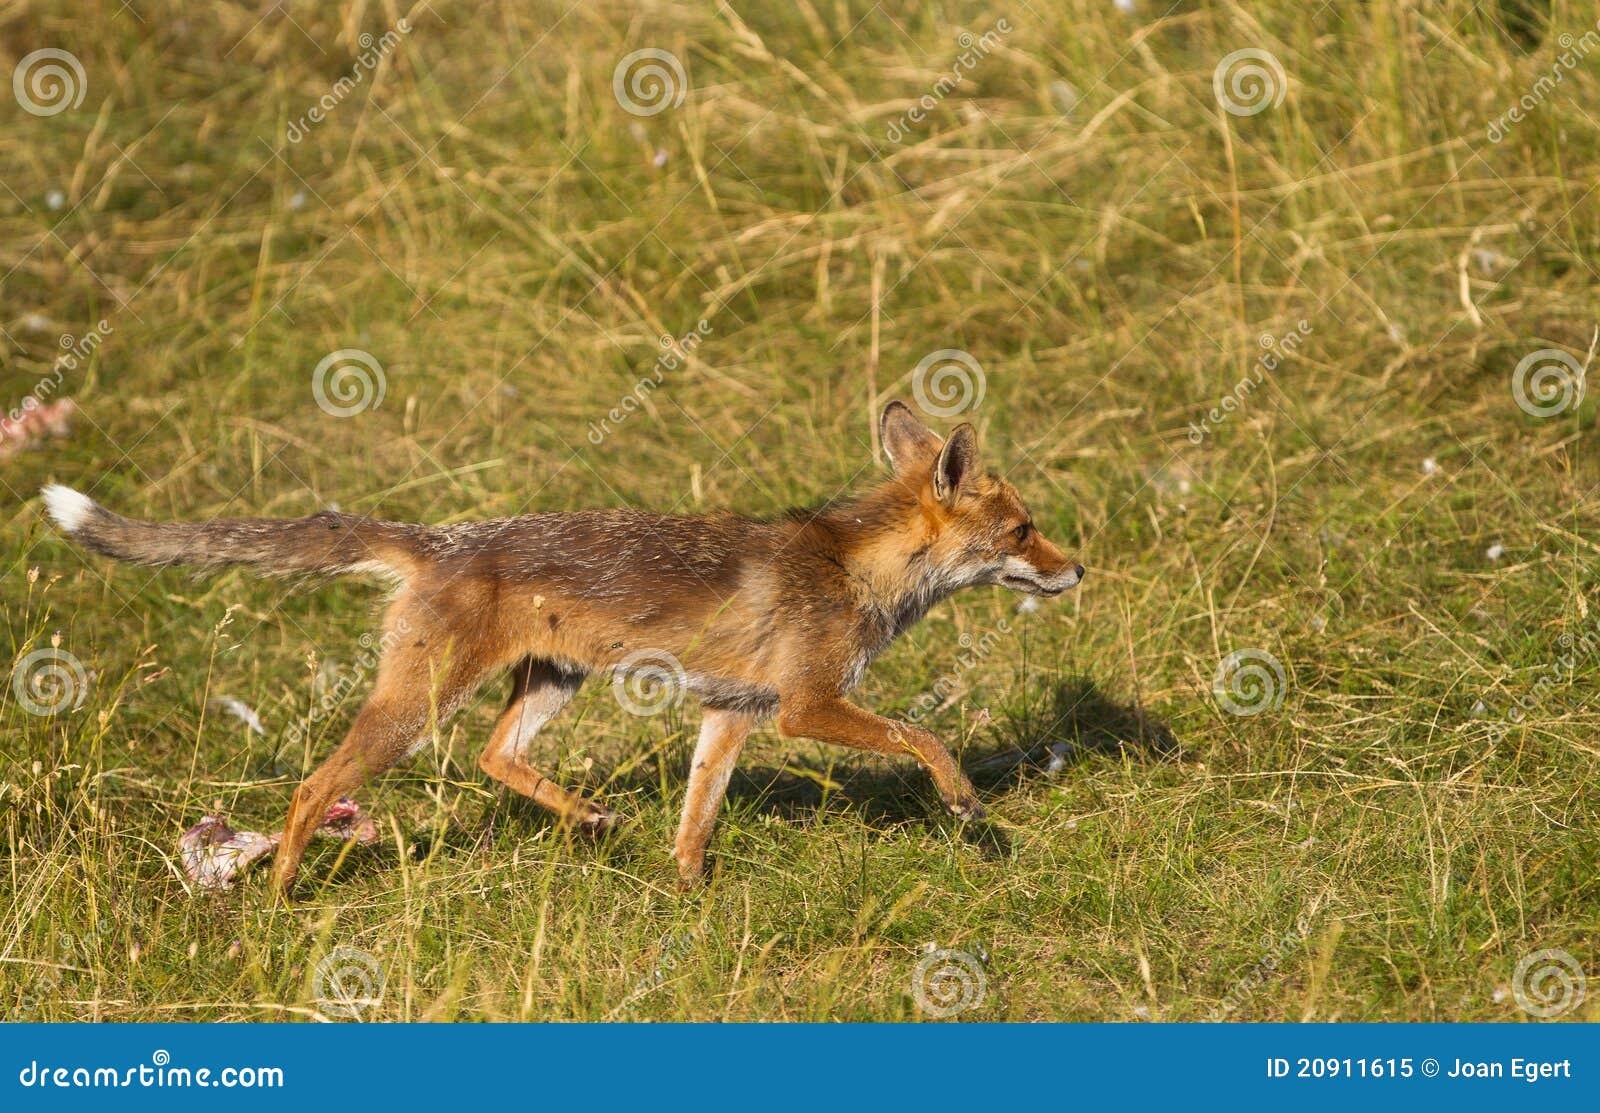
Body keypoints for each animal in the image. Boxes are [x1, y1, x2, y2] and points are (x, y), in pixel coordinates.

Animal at [40, 401, 1083, 896]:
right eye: (1025, 529)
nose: (1079, 568)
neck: (855, 569)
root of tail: (444, 537)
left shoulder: (731, 712)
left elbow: (695, 823)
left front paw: (688, 897)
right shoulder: (805, 705)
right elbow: (923, 737)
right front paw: (965, 802)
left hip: (550, 683)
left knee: (495, 756)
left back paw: (587, 816)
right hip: (419, 707)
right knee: (311, 787)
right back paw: (283, 895)